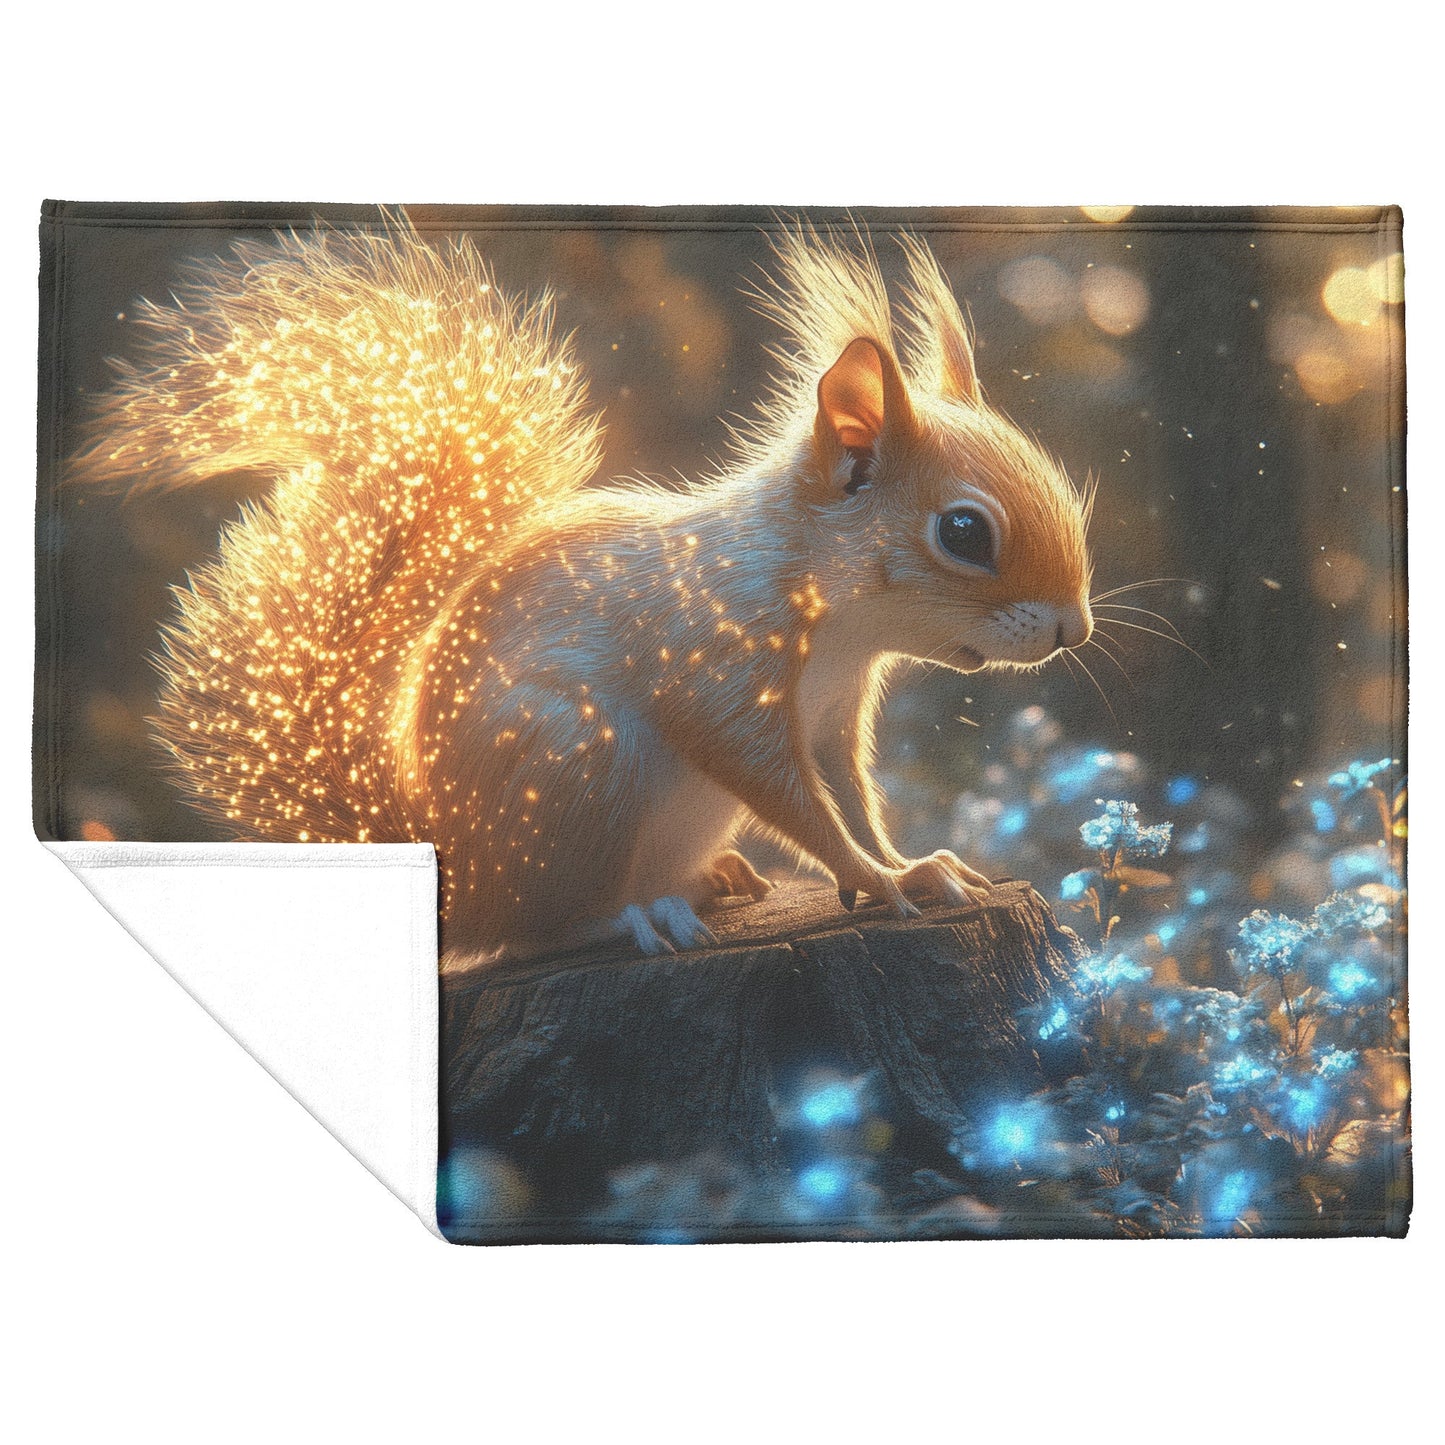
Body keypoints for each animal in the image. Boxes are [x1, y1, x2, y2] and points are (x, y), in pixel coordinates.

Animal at [73, 217, 1095, 961]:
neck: (833, 614)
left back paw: (710, 881)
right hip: (570, 766)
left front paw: (910, 866)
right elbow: (794, 800)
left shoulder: (840, 711)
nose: (1073, 633)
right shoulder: (718, 670)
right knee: (533, 932)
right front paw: (874, 880)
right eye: (963, 533)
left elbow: (851, 789)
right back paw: (637, 918)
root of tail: (452, 878)